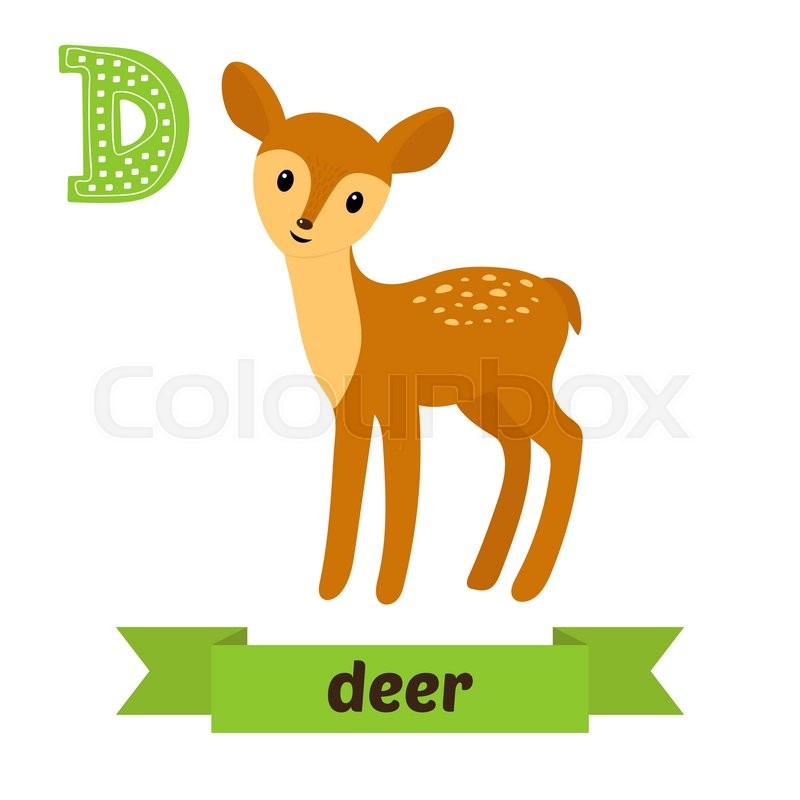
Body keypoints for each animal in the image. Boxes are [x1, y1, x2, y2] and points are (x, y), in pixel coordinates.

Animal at [222, 63, 583, 604]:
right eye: (284, 176)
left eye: (356, 199)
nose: (303, 226)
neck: (358, 331)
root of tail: (560, 294)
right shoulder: (350, 407)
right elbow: (347, 486)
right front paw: (332, 588)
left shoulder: (399, 399)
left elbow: (403, 488)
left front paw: (386, 593)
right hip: (487, 396)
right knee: (518, 452)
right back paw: (484, 577)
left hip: (528, 380)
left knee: (569, 439)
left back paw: (525, 585)